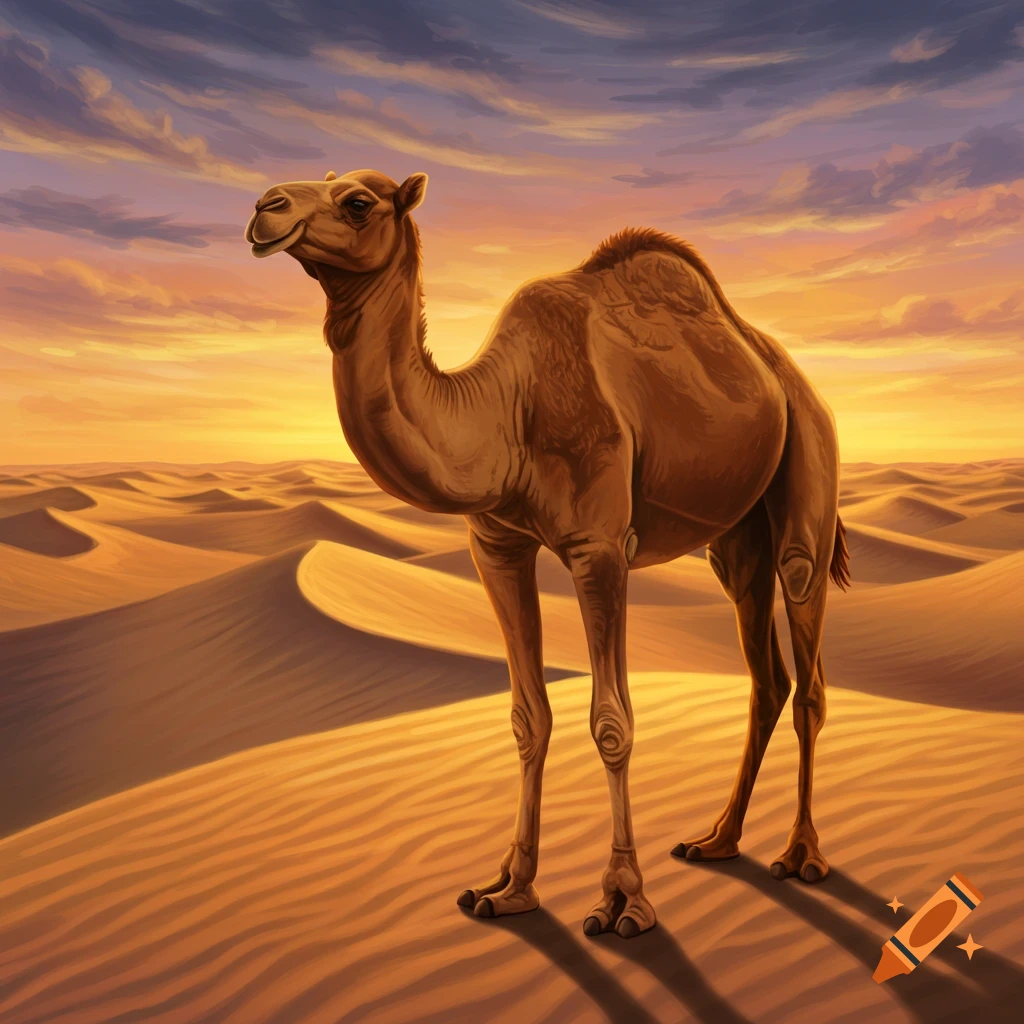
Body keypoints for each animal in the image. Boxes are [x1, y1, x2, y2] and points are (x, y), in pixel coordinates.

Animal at [245, 168, 850, 940]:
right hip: (737, 538)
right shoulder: (496, 545)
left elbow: (613, 723)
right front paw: (509, 886)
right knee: (765, 672)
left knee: (807, 656)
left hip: (809, 463)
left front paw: (624, 900)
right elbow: (528, 718)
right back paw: (717, 839)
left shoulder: (601, 548)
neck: (506, 409)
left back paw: (802, 854)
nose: (266, 208)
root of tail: (788, 374)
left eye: (357, 202)